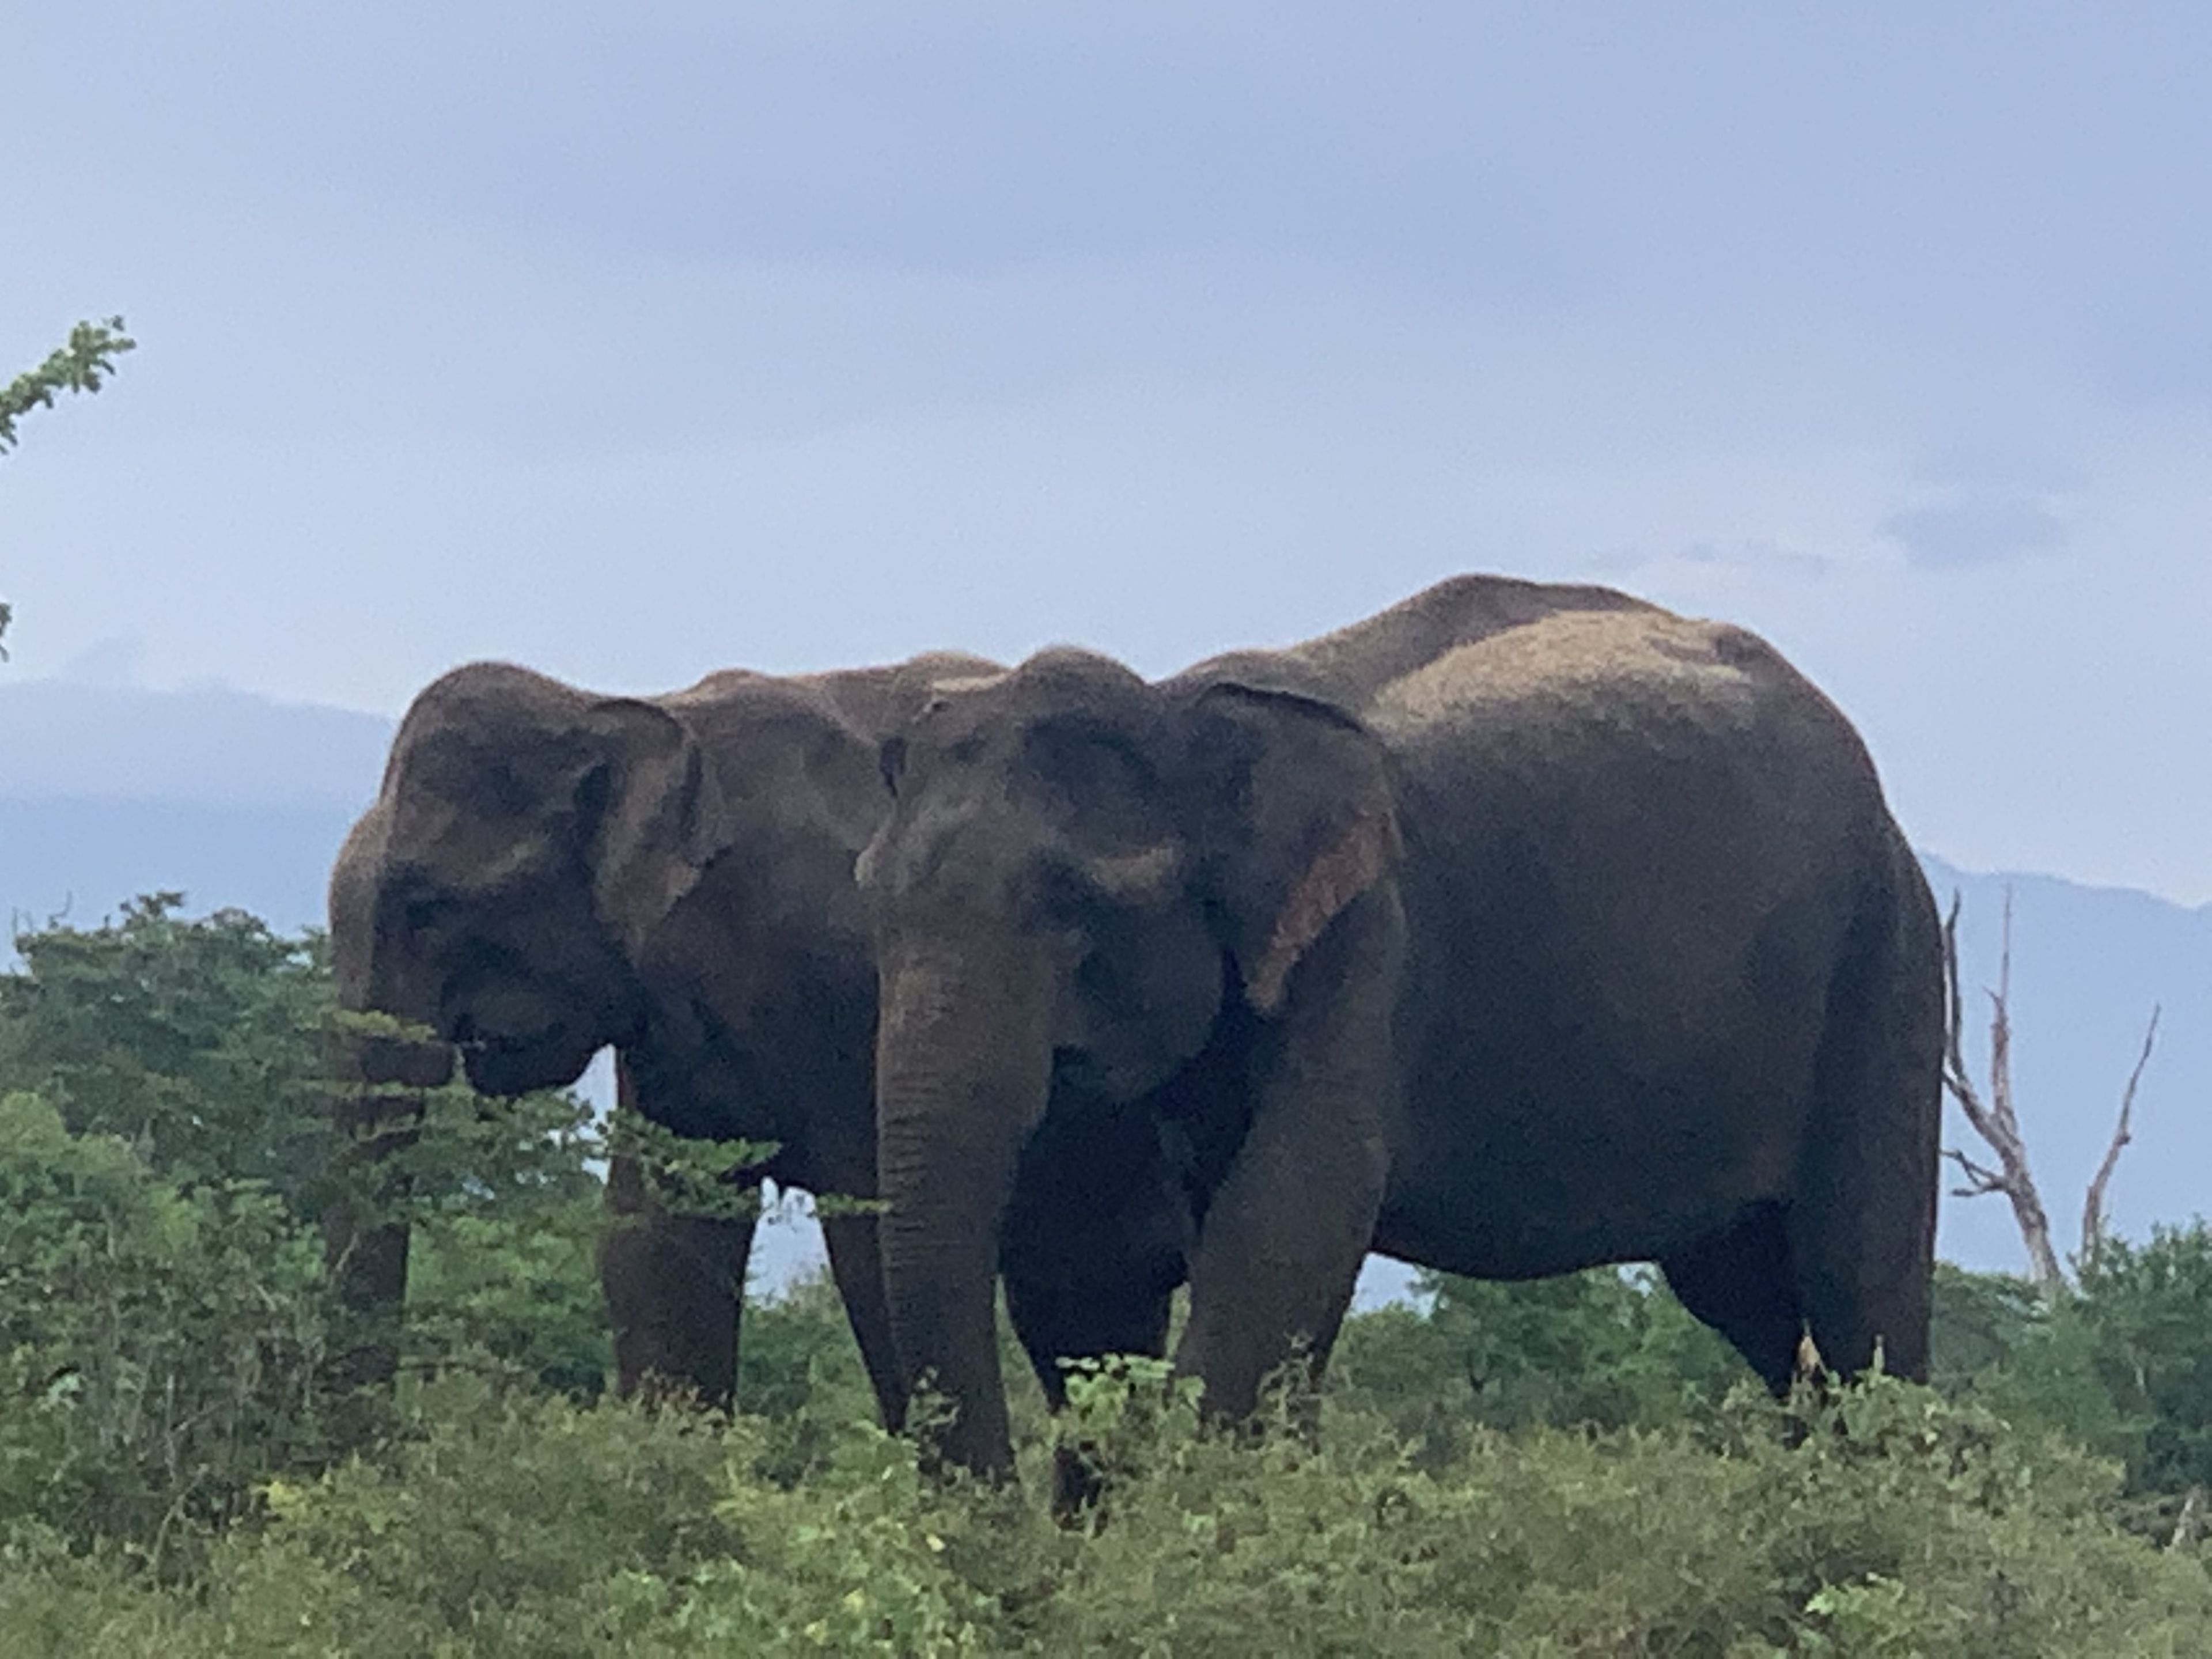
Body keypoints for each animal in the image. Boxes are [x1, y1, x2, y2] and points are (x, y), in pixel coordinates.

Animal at [856, 573, 1945, 1480]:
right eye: (873, 902)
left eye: (1077, 907)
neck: (1180, 706)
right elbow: (1211, 1236)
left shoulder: (1366, 939)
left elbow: (1287, 1221)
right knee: (1751, 1298)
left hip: (1885, 961)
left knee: (1859, 1286)